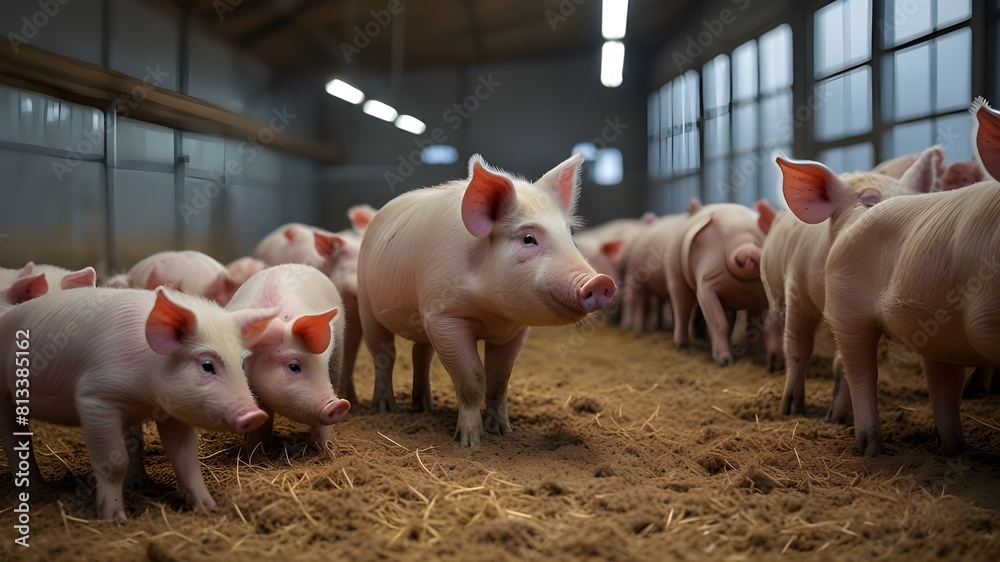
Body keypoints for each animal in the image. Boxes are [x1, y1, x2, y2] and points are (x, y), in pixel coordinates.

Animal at [0, 287, 276, 522]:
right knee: (14, 435)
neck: (145, 391)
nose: (254, 415)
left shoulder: (172, 412)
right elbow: (114, 462)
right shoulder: (95, 397)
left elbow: (186, 460)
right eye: (207, 365)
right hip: (5, 394)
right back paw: (36, 489)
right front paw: (114, 520)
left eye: (242, 363)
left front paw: (208, 508)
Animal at [357, 153, 616, 447]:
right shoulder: (444, 316)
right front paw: (470, 443)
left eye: (570, 235)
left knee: (420, 354)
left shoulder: (514, 329)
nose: (601, 282)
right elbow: (473, 378)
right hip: (366, 303)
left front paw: (504, 431)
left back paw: (424, 408)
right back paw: (385, 408)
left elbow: (499, 379)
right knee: (383, 356)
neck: (492, 312)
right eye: (528, 238)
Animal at [662, 201, 776, 367]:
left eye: (758, 242)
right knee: (681, 307)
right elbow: (718, 322)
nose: (747, 249)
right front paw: (724, 362)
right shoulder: (706, 286)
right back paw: (682, 345)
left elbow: (757, 325)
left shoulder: (760, 296)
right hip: (674, 273)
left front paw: (758, 355)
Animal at [761, 146, 942, 415]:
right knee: (774, 321)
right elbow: (797, 348)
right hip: (771, 287)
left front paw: (839, 417)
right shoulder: (796, 286)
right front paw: (791, 409)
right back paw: (773, 366)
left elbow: (845, 362)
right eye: (869, 201)